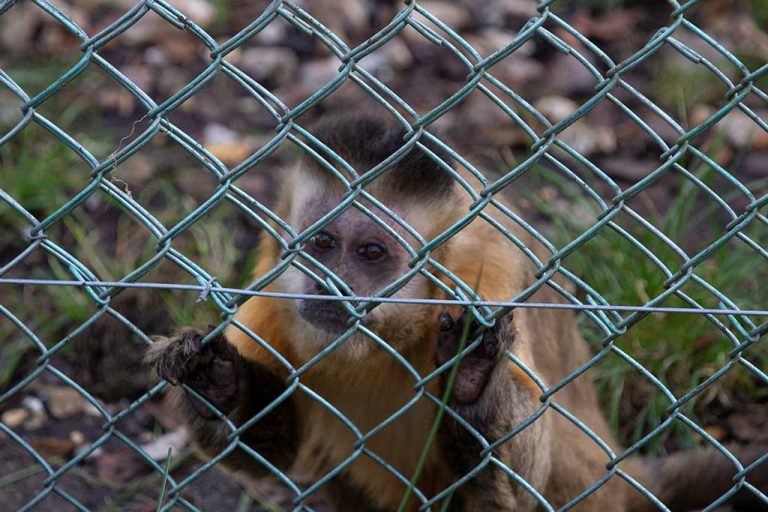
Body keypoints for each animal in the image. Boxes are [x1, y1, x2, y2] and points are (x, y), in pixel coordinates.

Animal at [145, 113, 767, 511]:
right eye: (322, 244)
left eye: (370, 253)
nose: (329, 284)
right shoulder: (275, 282)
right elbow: (275, 450)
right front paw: (215, 382)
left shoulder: (488, 265)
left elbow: (522, 482)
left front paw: (471, 381)